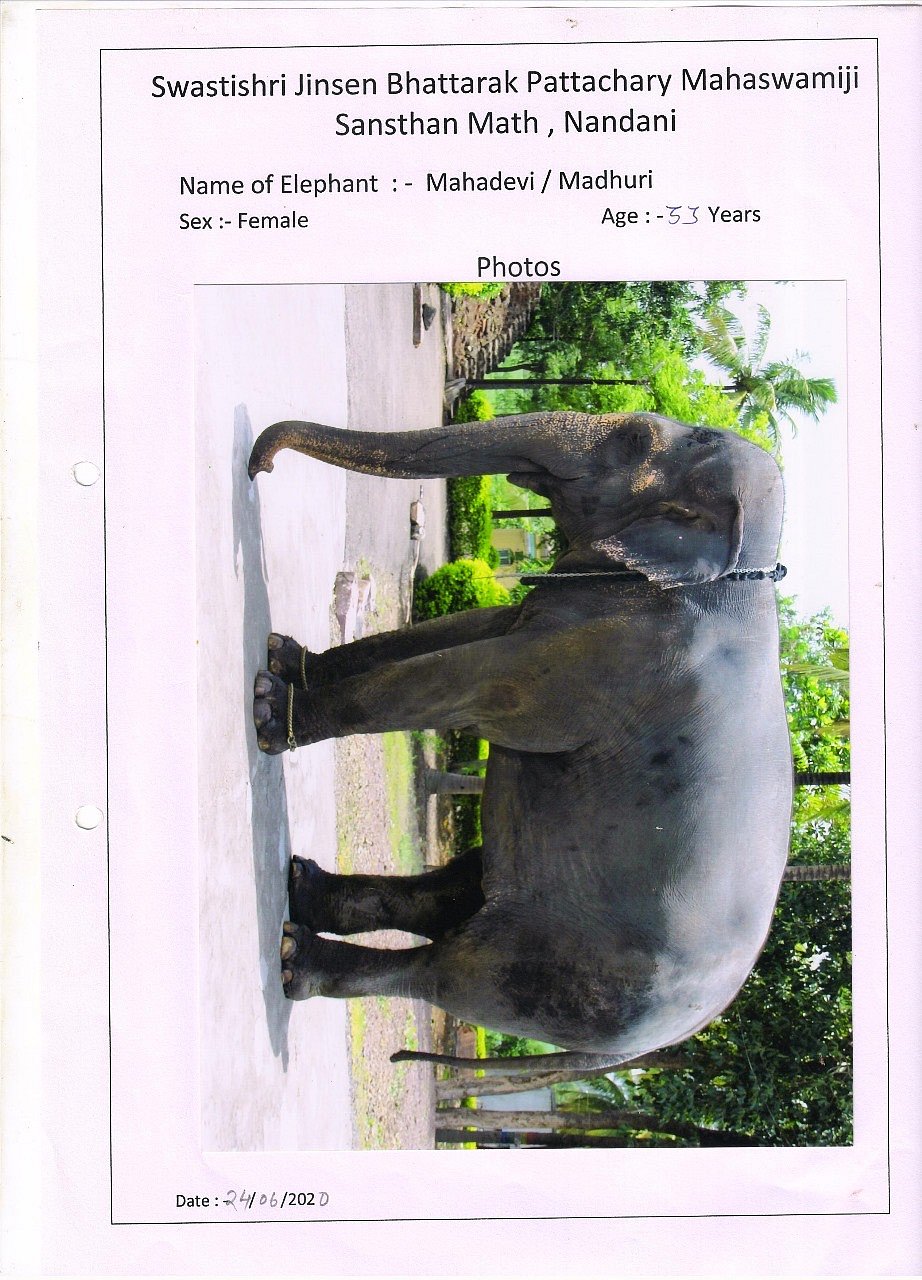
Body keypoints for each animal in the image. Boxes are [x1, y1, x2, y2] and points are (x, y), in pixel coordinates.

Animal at [248, 411, 792, 1074]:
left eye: (632, 441)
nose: (259, 466)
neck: (746, 575)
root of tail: (646, 1049)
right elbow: (460, 630)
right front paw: (283, 657)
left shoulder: (615, 664)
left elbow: (475, 684)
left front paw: (269, 709)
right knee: (455, 894)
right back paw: (304, 889)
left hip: (578, 979)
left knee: (452, 975)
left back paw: (296, 956)